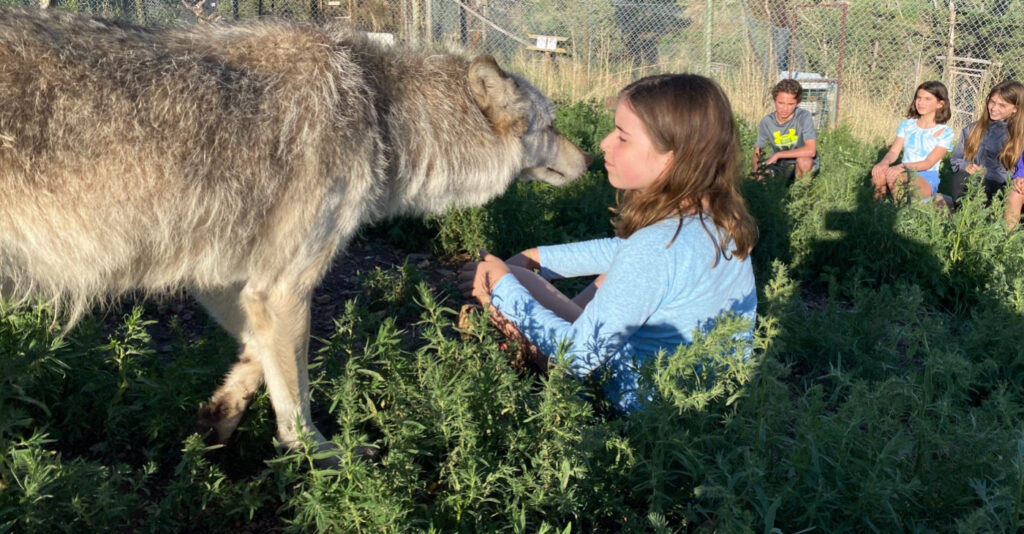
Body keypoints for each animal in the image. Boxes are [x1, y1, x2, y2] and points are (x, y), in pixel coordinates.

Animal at [0, 8, 588, 456]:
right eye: (553, 125)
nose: (589, 161)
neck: (380, 110)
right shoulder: (284, 286)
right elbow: (296, 405)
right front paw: (325, 457)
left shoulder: (228, 279)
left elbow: (256, 356)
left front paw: (219, 415)